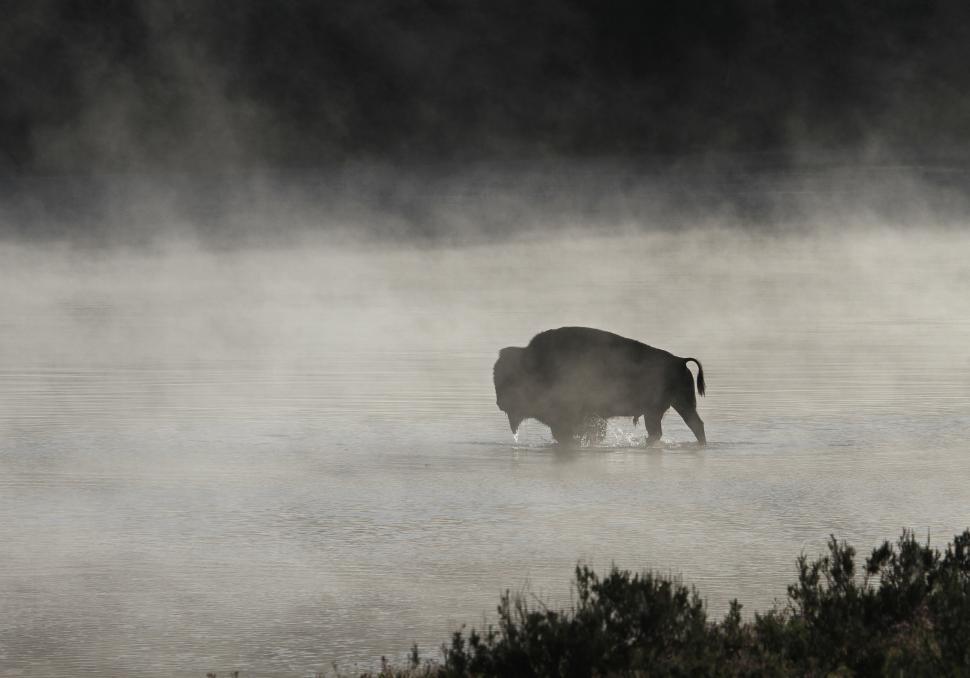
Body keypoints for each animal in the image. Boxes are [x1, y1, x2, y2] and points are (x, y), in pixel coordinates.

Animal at [493, 327, 706, 445]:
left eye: (509, 379)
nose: (500, 403)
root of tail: (679, 361)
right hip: (677, 406)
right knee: (693, 425)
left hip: (660, 410)